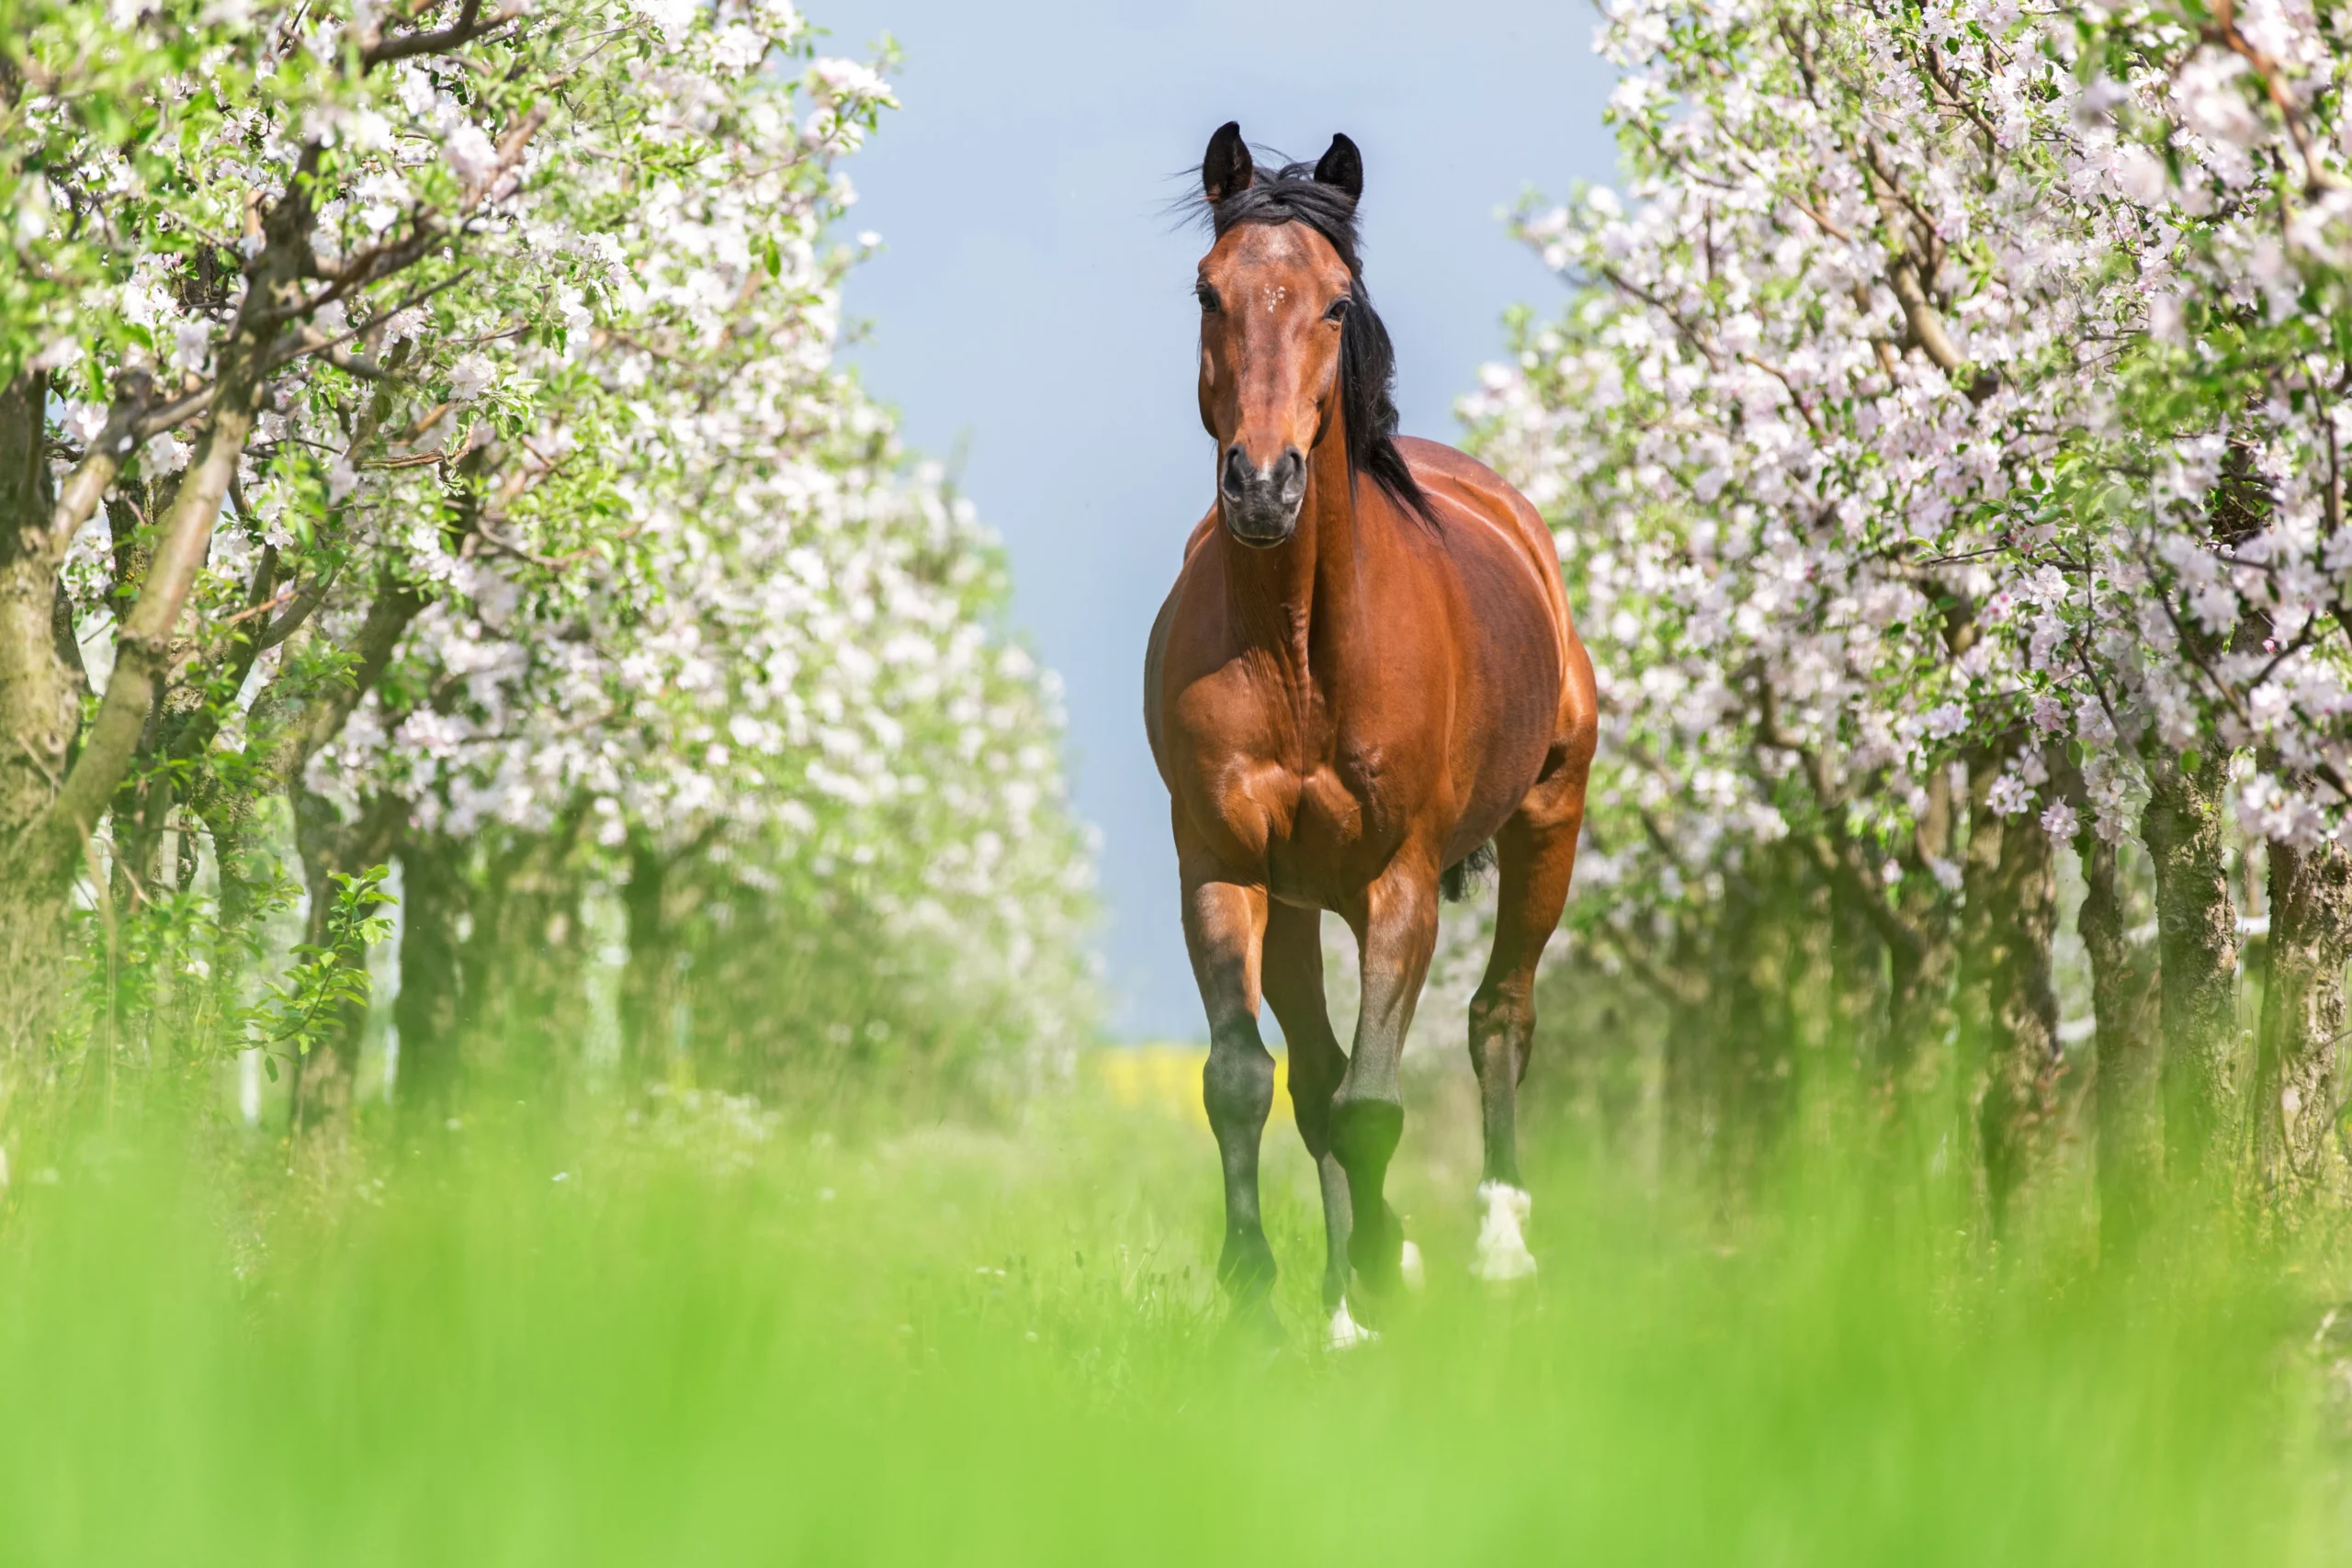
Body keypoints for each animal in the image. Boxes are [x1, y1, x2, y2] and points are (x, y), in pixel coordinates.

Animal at [1143, 123, 1598, 1346]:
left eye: (1337, 304)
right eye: (1208, 290)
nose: (1261, 485)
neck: (1301, 651)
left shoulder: (1400, 881)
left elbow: (1376, 1105)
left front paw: (1388, 1278)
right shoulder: (1221, 864)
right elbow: (1248, 1081)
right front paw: (1264, 1287)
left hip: (1547, 821)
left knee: (1499, 1018)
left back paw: (1500, 1249)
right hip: (1306, 901)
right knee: (1312, 1074)